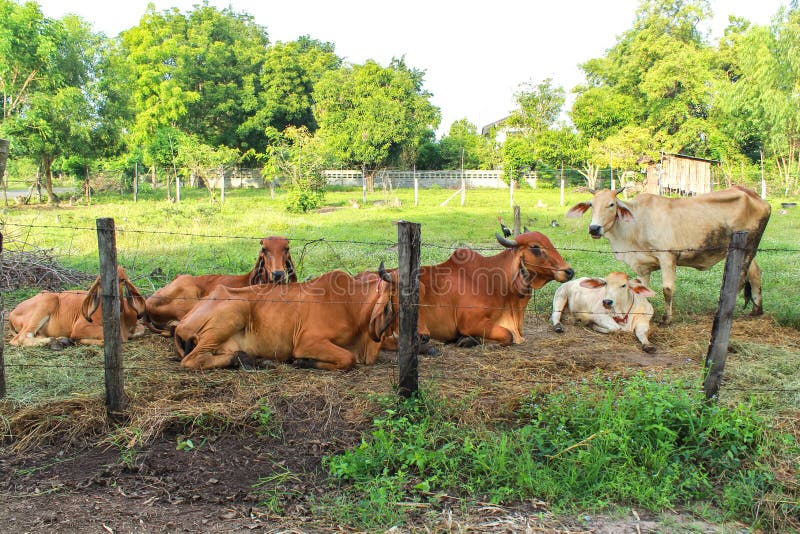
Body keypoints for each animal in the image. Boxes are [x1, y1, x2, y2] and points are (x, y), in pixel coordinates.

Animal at [8, 266, 146, 347]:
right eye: (100, 282)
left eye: (122, 280)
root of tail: (12, 313)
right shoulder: (80, 326)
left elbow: (141, 330)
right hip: (47, 299)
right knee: (20, 338)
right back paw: (55, 341)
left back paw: (61, 340)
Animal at [174, 263, 416, 371]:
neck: (351, 305)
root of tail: (182, 322)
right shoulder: (307, 341)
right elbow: (348, 359)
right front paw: (303, 361)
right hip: (234, 312)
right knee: (191, 360)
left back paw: (251, 359)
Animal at [566, 187, 771, 324]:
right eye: (591, 205)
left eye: (611, 204)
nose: (594, 228)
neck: (637, 225)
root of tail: (757, 197)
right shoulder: (642, 265)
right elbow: (642, 288)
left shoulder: (668, 258)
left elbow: (667, 289)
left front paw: (666, 319)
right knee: (756, 274)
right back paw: (756, 310)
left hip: (746, 248)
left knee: (741, 280)